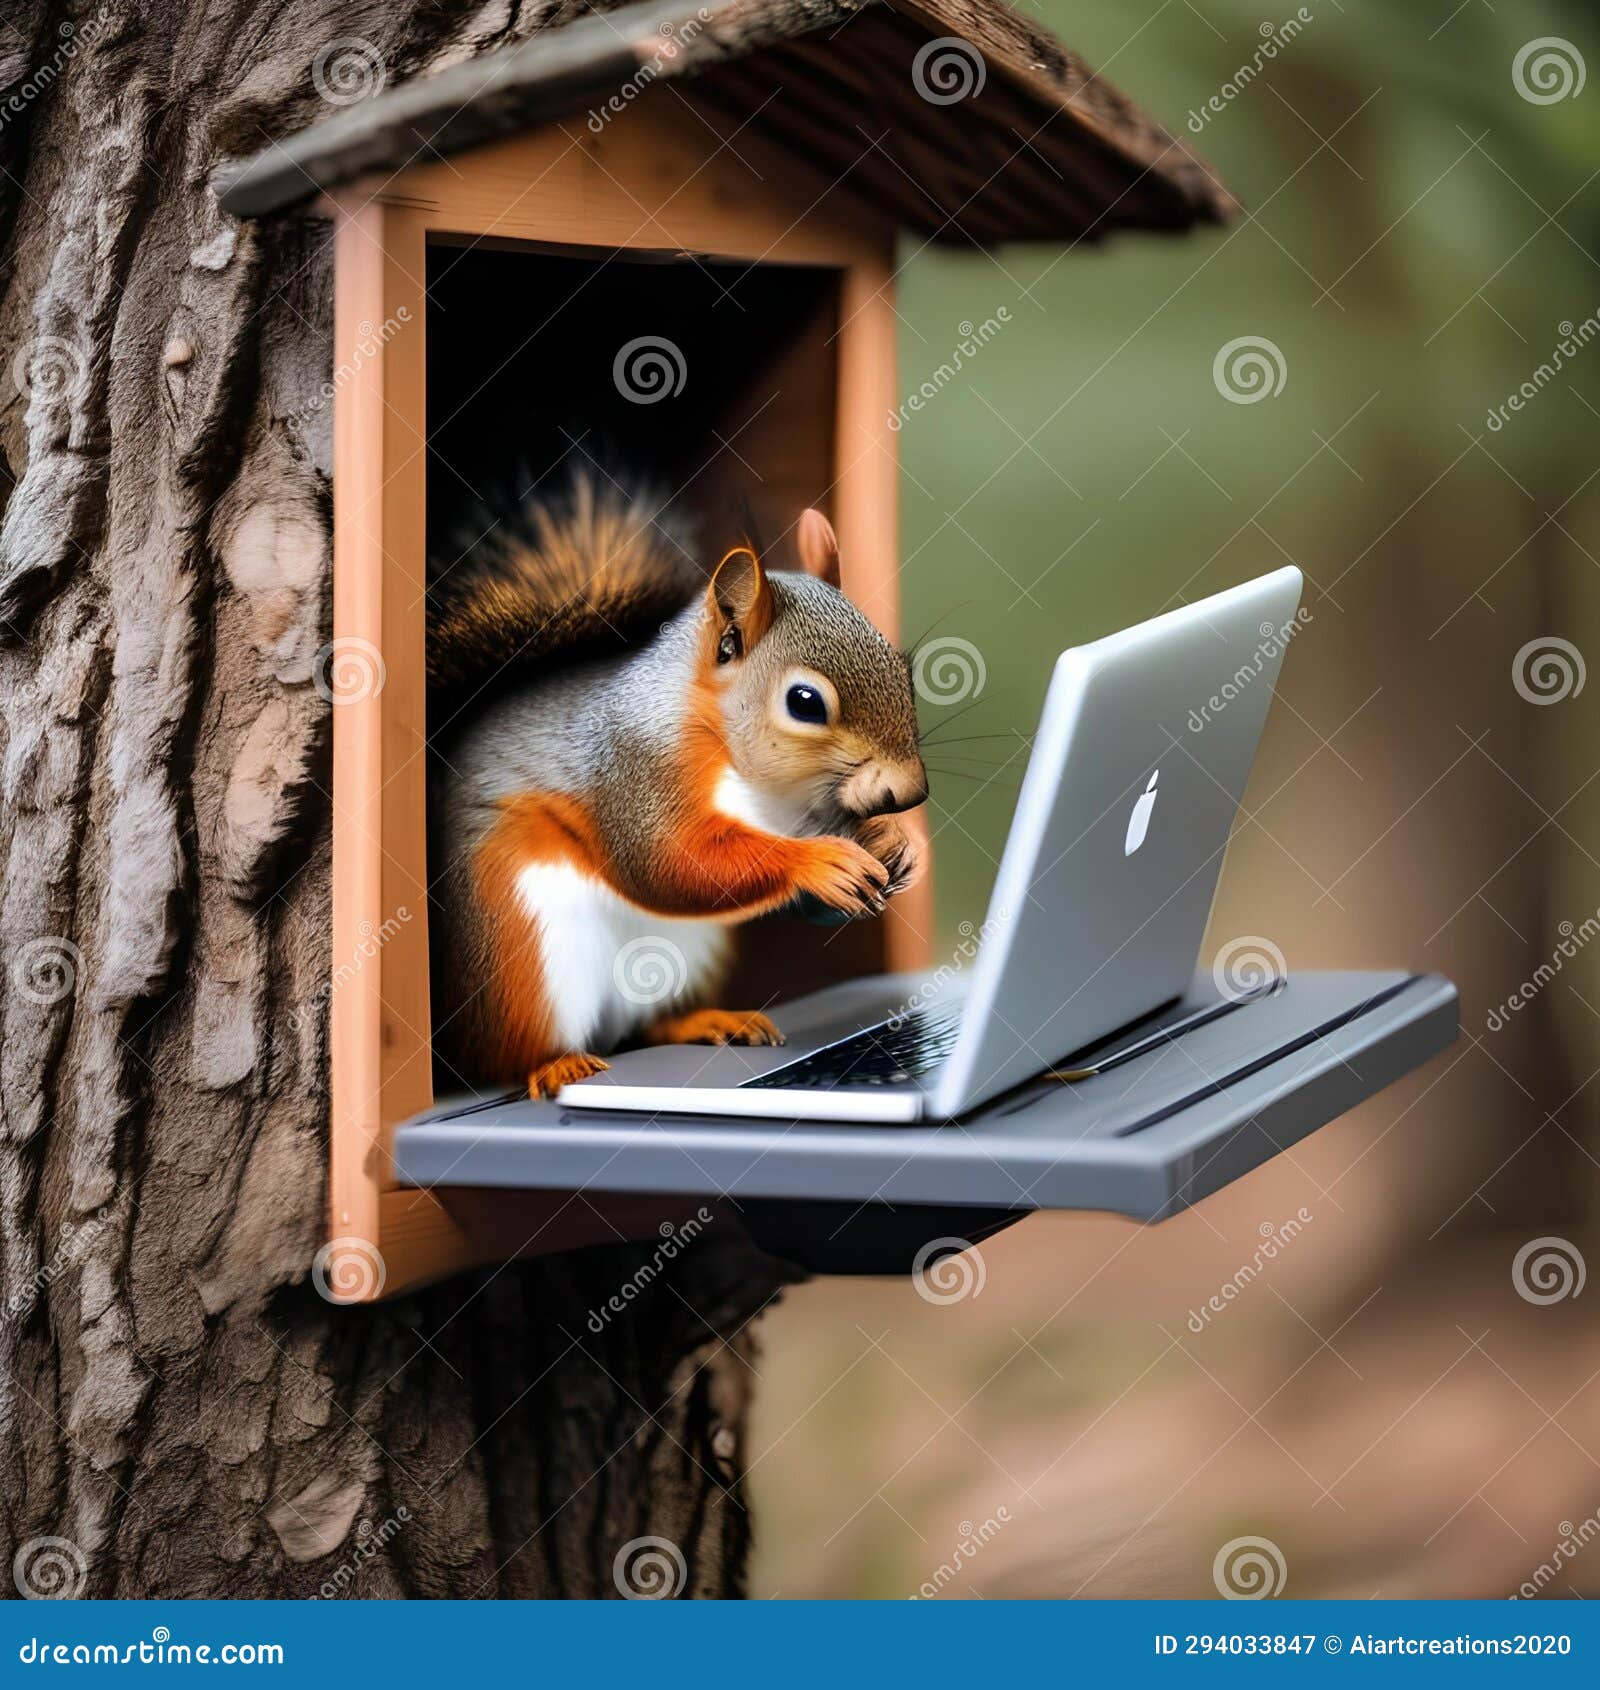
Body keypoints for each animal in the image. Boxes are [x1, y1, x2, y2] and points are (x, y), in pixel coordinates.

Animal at [428, 470, 928, 1100]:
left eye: (904, 670)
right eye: (805, 702)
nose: (911, 794)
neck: (762, 786)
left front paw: (895, 842)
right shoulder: (636, 765)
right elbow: (667, 862)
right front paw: (819, 862)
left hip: (688, 956)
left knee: (648, 1026)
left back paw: (708, 1020)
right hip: (518, 957)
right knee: (508, 1055)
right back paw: (555, 1065)